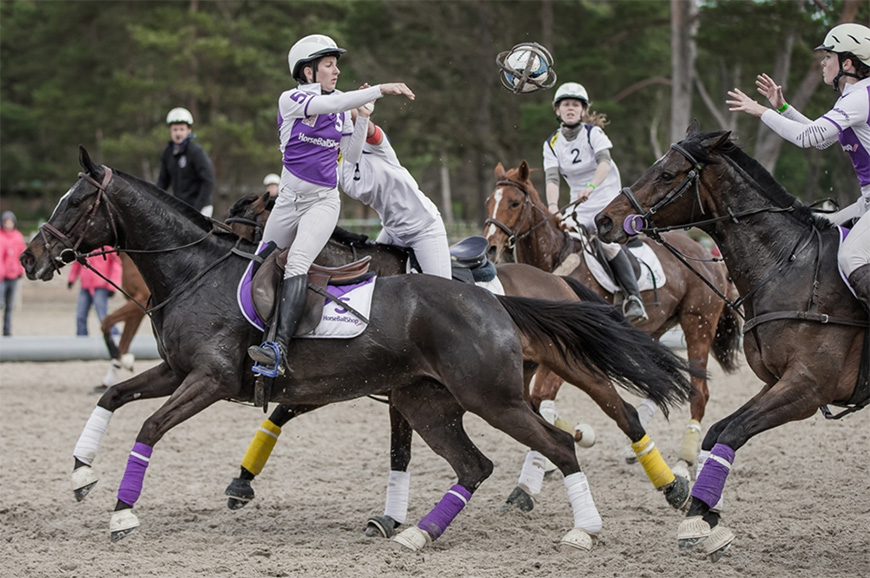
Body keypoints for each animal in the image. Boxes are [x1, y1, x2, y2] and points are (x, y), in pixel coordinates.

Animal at [220, 193, 699, 533]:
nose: (241, 286)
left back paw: (671, 485)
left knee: (622, 410)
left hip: (565, 365)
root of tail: (556, 281)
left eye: (244, 232)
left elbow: (395, 450)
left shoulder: (375, 384)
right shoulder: (365, 383)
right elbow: (287, 415)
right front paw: (242, 481)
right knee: (547, 421)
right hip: (512, 380)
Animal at [485, 160, 742, 477]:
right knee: (661, 382)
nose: (490, 247)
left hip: (698, 324)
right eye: (489, 202)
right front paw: (574, 439)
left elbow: (542, 395)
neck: (554, 262)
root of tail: (707, 255)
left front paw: (568, 443)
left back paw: (683, 463)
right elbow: (538, 399)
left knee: (699, 392)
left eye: (514, 202)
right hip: (654, 330)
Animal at [594, 122, 869, 560]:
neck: (788, 269)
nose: (604, 220)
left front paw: (696, 517)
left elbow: (733, 432)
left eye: (666, 174)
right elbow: (719, 432)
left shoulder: (809, 387)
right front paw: (706, 513)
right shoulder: (777, 382)